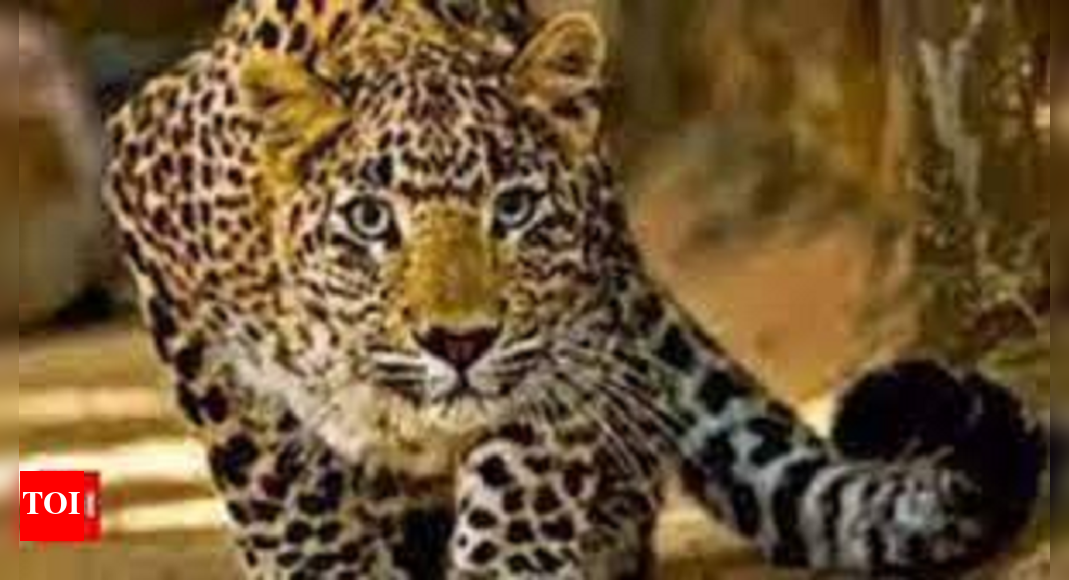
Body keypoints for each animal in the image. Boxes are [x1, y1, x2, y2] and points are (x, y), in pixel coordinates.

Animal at [103, 1, 1047, 578]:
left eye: (514, 209)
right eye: (371, 221)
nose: (458, 342)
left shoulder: (567, 351)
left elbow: (519, 499)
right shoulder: (158, 233)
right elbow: (283, 497)